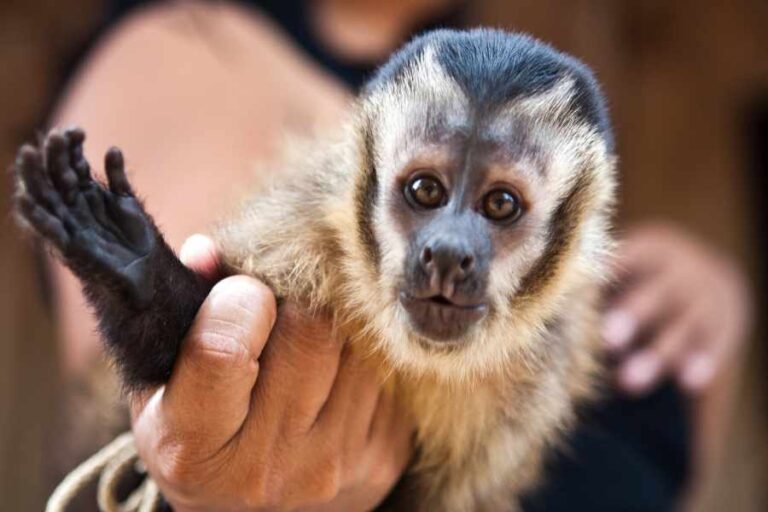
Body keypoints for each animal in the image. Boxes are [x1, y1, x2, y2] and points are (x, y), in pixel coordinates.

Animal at [13, 29, 616, 511]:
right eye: (426, 191)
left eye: (500, 205)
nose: (446, 253)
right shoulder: (297, 237)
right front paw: (132, 272)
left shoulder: (537, 380)